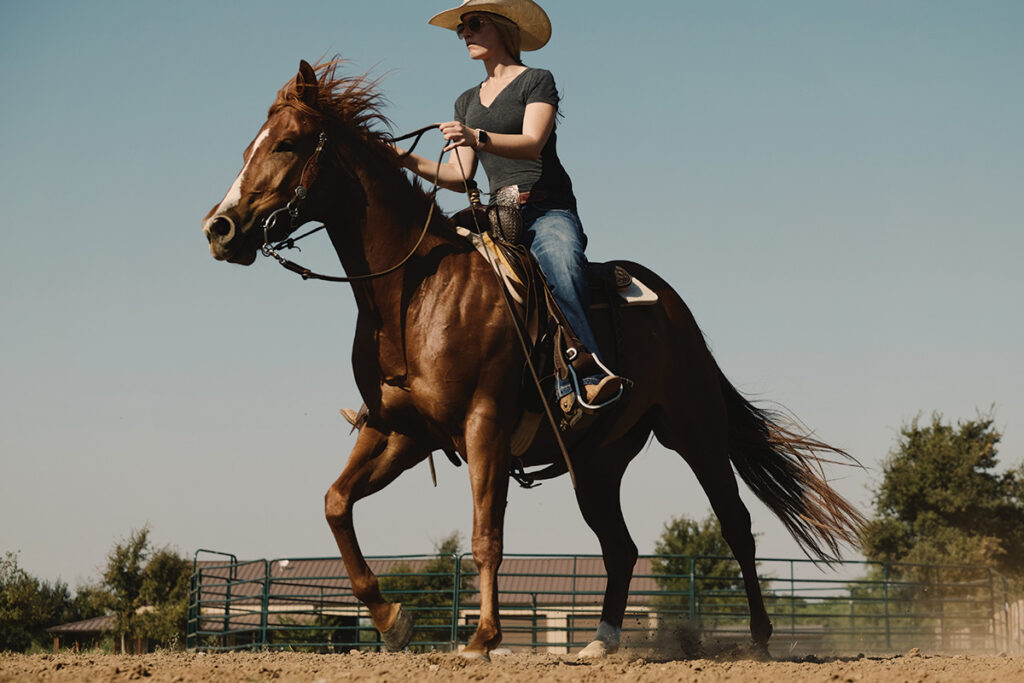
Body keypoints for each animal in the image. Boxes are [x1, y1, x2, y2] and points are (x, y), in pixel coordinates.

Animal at [201, 59, 865, 660]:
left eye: (287, 143)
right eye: (249, 145)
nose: (219, 228)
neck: (416, 293)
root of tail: (675, 308)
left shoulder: (484, 425)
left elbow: (485, 535)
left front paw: (481, 639)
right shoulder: (400, 431)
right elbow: (336, 503)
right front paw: (394, 622)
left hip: (695, 430)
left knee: (736, 525)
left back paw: (760, 640)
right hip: (597, 461)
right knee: (621, 547)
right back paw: (600, 642)